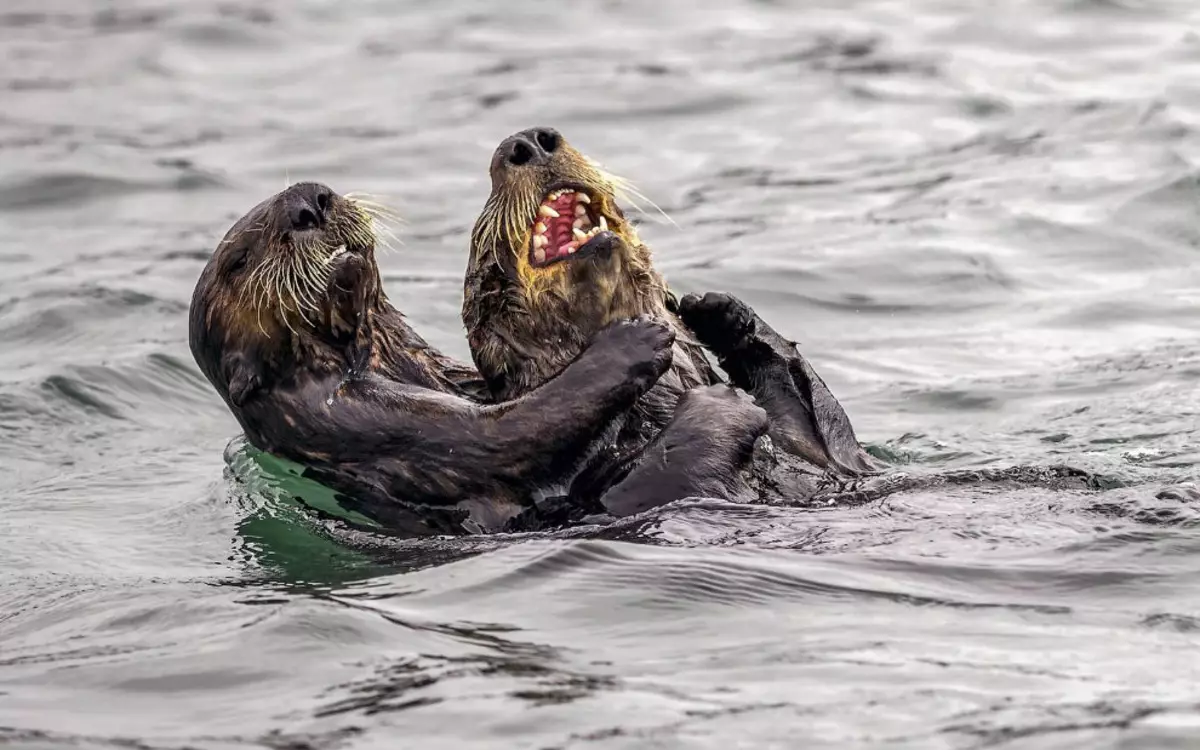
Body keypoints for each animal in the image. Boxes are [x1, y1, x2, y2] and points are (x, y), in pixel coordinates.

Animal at [189, 181, 768, 532]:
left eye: (319, 190)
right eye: (240, 260)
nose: (312, 200)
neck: (377, 356)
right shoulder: (359, 418)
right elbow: (511, 430)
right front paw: (634, 341)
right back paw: (721, 407)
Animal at [463, 128, 878, 508]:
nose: (527, 141)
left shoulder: (832, 454)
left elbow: (831, 428)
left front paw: (718, 311)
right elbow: (658, 478)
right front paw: (716, 403)